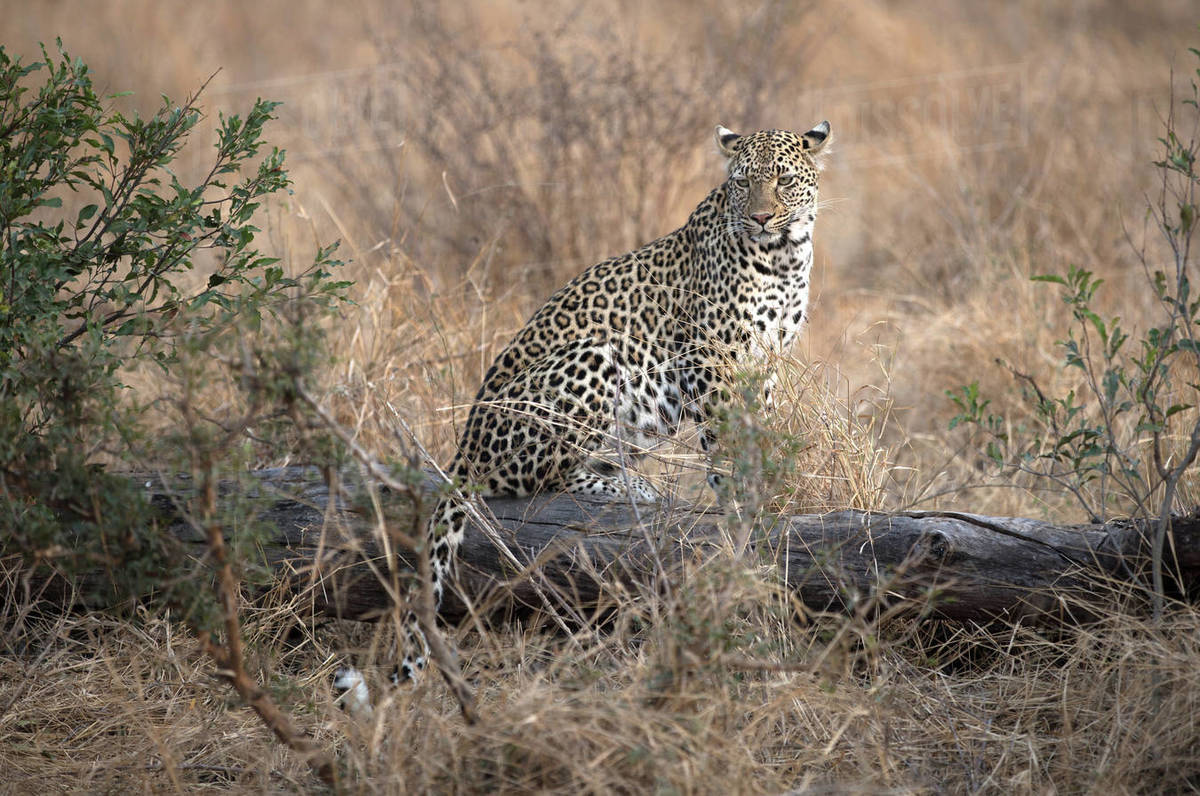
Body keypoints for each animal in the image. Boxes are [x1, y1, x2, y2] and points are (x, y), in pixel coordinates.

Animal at [334, 121, 831, 706]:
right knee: (547, 479)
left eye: (783, 180)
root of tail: (462, 448)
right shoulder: (709, 357)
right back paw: (633, 490)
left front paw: (769, 491)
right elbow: (727, 445)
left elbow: (762, 433)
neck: (783, 256)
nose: (760, 217)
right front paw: (740, 500)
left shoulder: (765, 363)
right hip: (597, 355)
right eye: (743, 183)